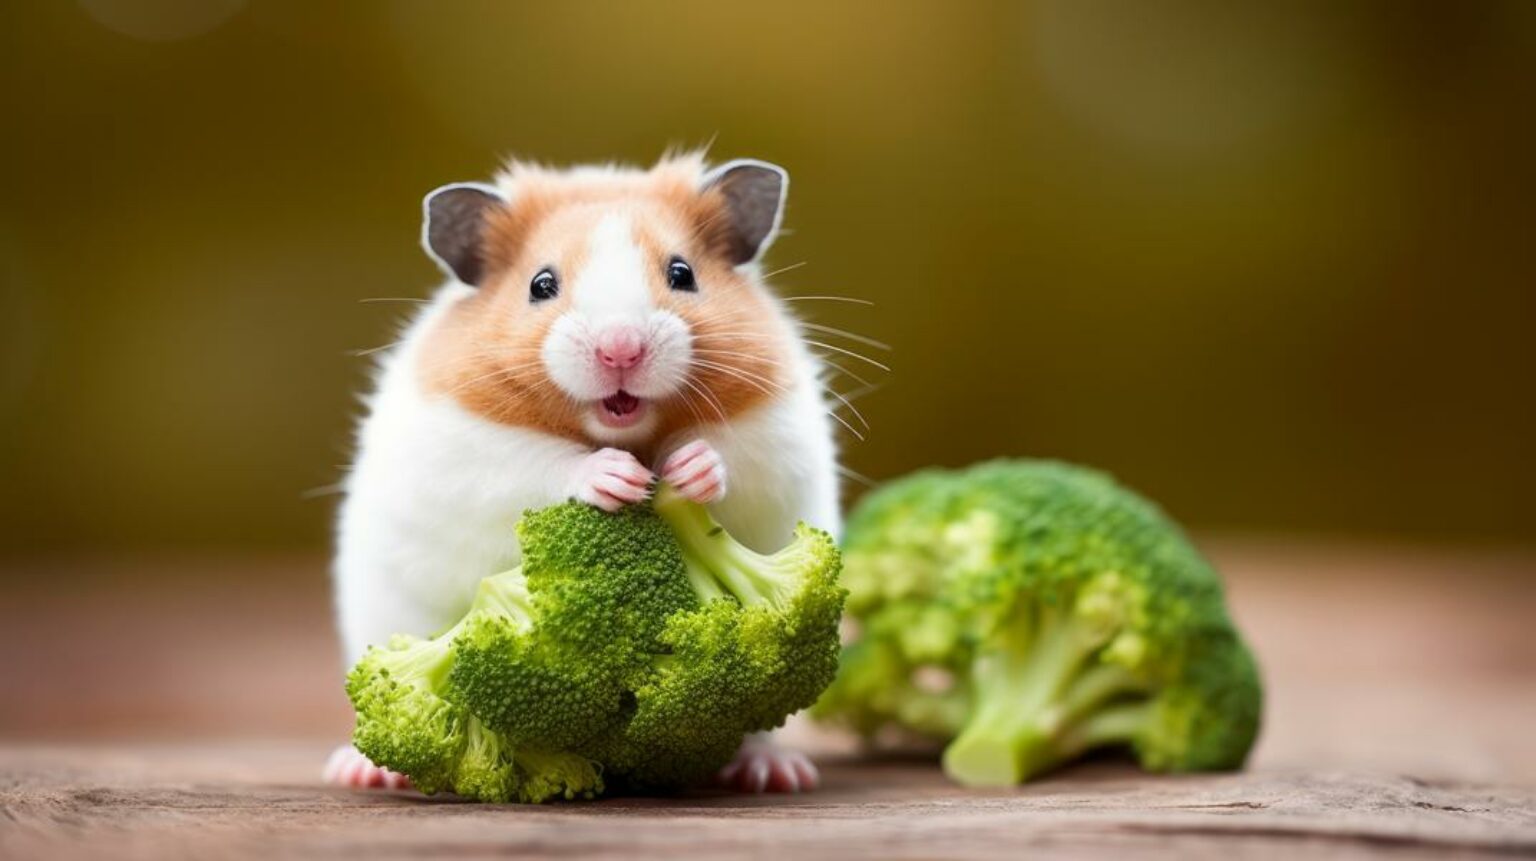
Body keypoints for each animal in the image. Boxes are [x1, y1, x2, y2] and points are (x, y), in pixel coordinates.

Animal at [323, 153, 841, 794]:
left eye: (682, 274)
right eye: (540, 285)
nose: (621, 350)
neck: (624, 430)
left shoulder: (774, 435)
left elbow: (730, 461)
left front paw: (689, 470)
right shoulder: (469, 454)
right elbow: (542, 465)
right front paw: (617, 478)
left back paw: (776, 773)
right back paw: (360, 773)